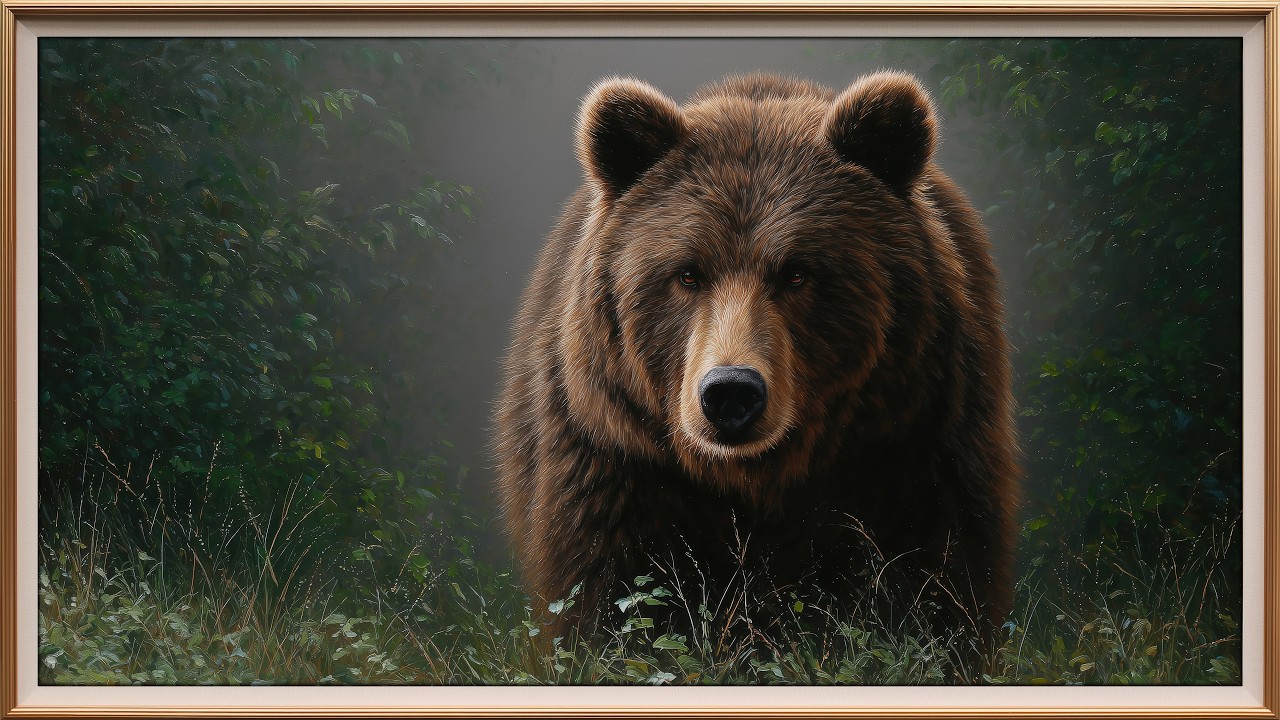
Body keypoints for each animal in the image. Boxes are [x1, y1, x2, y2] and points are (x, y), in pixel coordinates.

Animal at [494, 71, 1019, 670]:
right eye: (688, 273)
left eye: (796, 272)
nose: (730, 393)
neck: (757, 476)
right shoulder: (615, 458)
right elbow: (609, 595)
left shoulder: (914, 441)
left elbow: (937, 581)